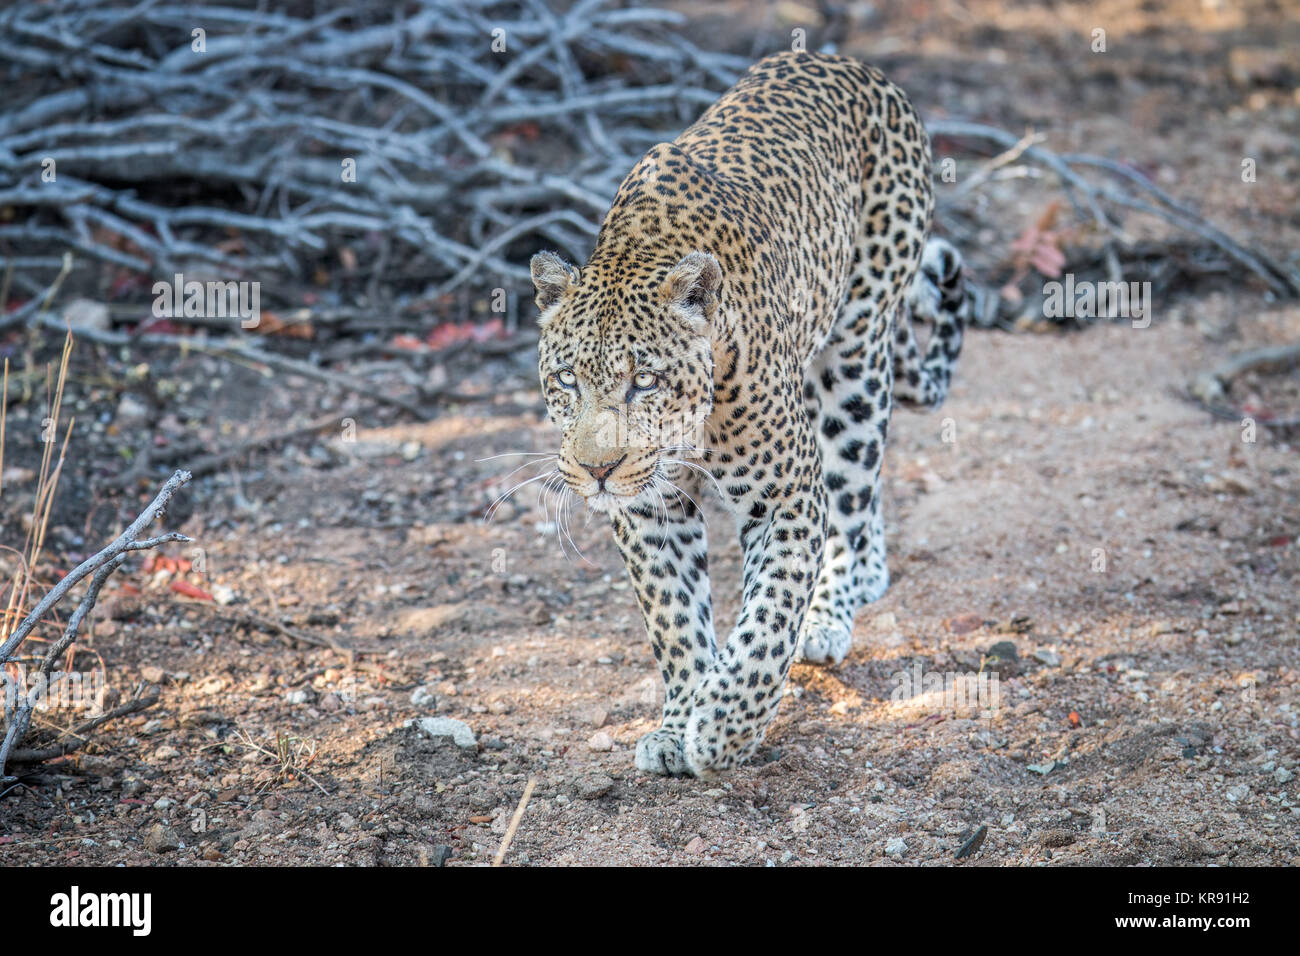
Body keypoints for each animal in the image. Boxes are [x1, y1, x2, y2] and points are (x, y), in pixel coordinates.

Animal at [528, 51, 974, 778]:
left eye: (645, 382)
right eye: (567, 379)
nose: (596, 472)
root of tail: (847, 62)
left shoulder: (786, 497)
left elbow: (769, 622)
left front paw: (724, 727)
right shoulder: (648, 510)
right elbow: (675, 620)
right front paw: (678, 722)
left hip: (855, 351)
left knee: (852, 487)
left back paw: (832, 608)